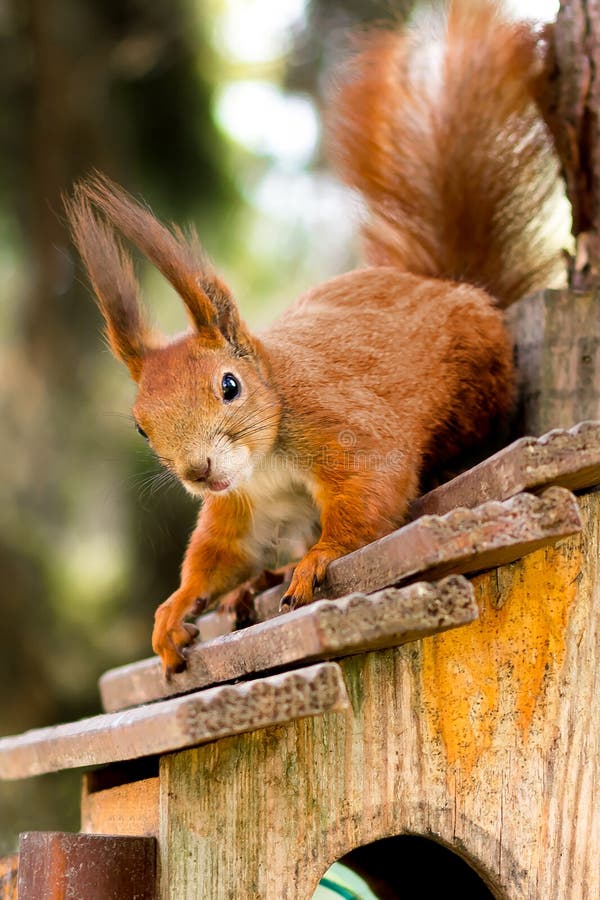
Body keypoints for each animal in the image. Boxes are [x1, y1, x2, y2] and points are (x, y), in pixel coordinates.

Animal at [66, 0, 564, 677]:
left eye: (230, 385)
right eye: (141, 427)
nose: (198, 471)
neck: (267, 458)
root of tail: (454, 287)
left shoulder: (343, 428)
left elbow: (371, 493)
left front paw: (320, 559)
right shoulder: (243, 506)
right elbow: (219, 557)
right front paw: (175, 609)